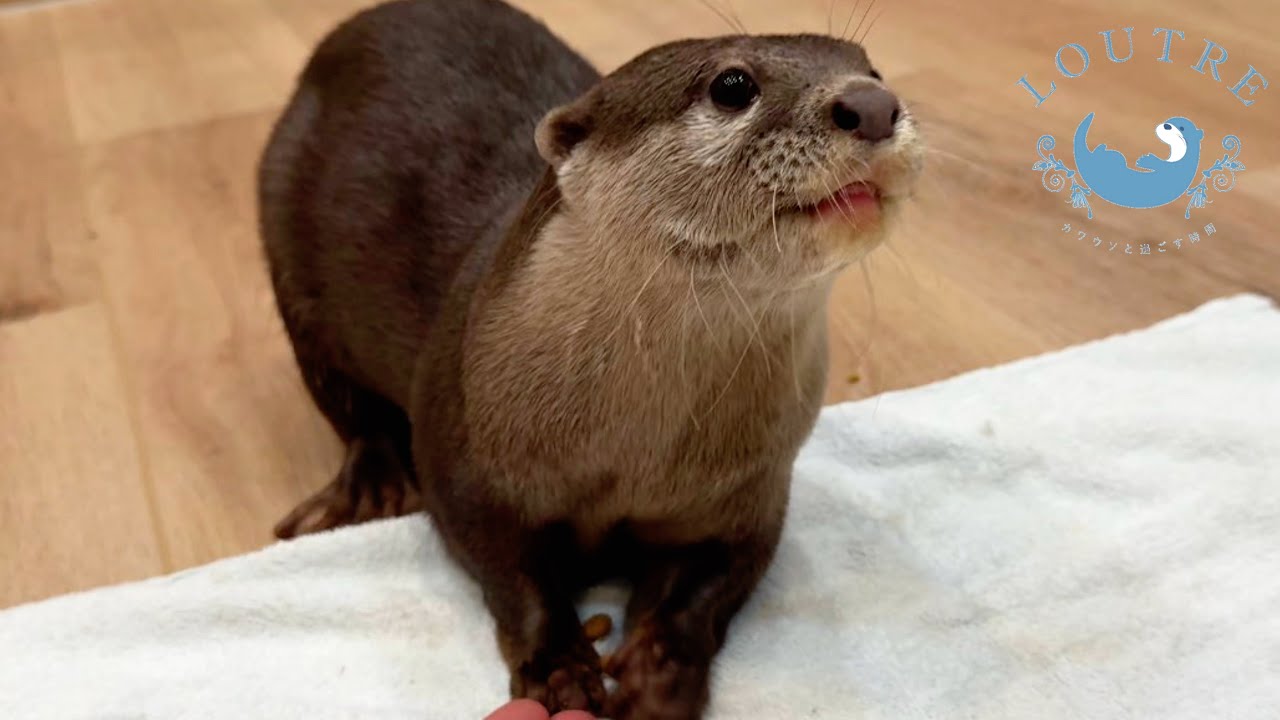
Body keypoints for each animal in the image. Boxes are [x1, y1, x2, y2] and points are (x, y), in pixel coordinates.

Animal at [258, 0, 924, 717]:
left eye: (873, 70)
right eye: (732, 85)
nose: (874, 105)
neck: (636, 449)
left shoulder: (751, 489)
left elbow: (716, 580)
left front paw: (660, 670)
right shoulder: (462, 453)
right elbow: (506, 569)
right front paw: (557, 665)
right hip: (289, 262)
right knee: (341, 394)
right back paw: (373, 479)